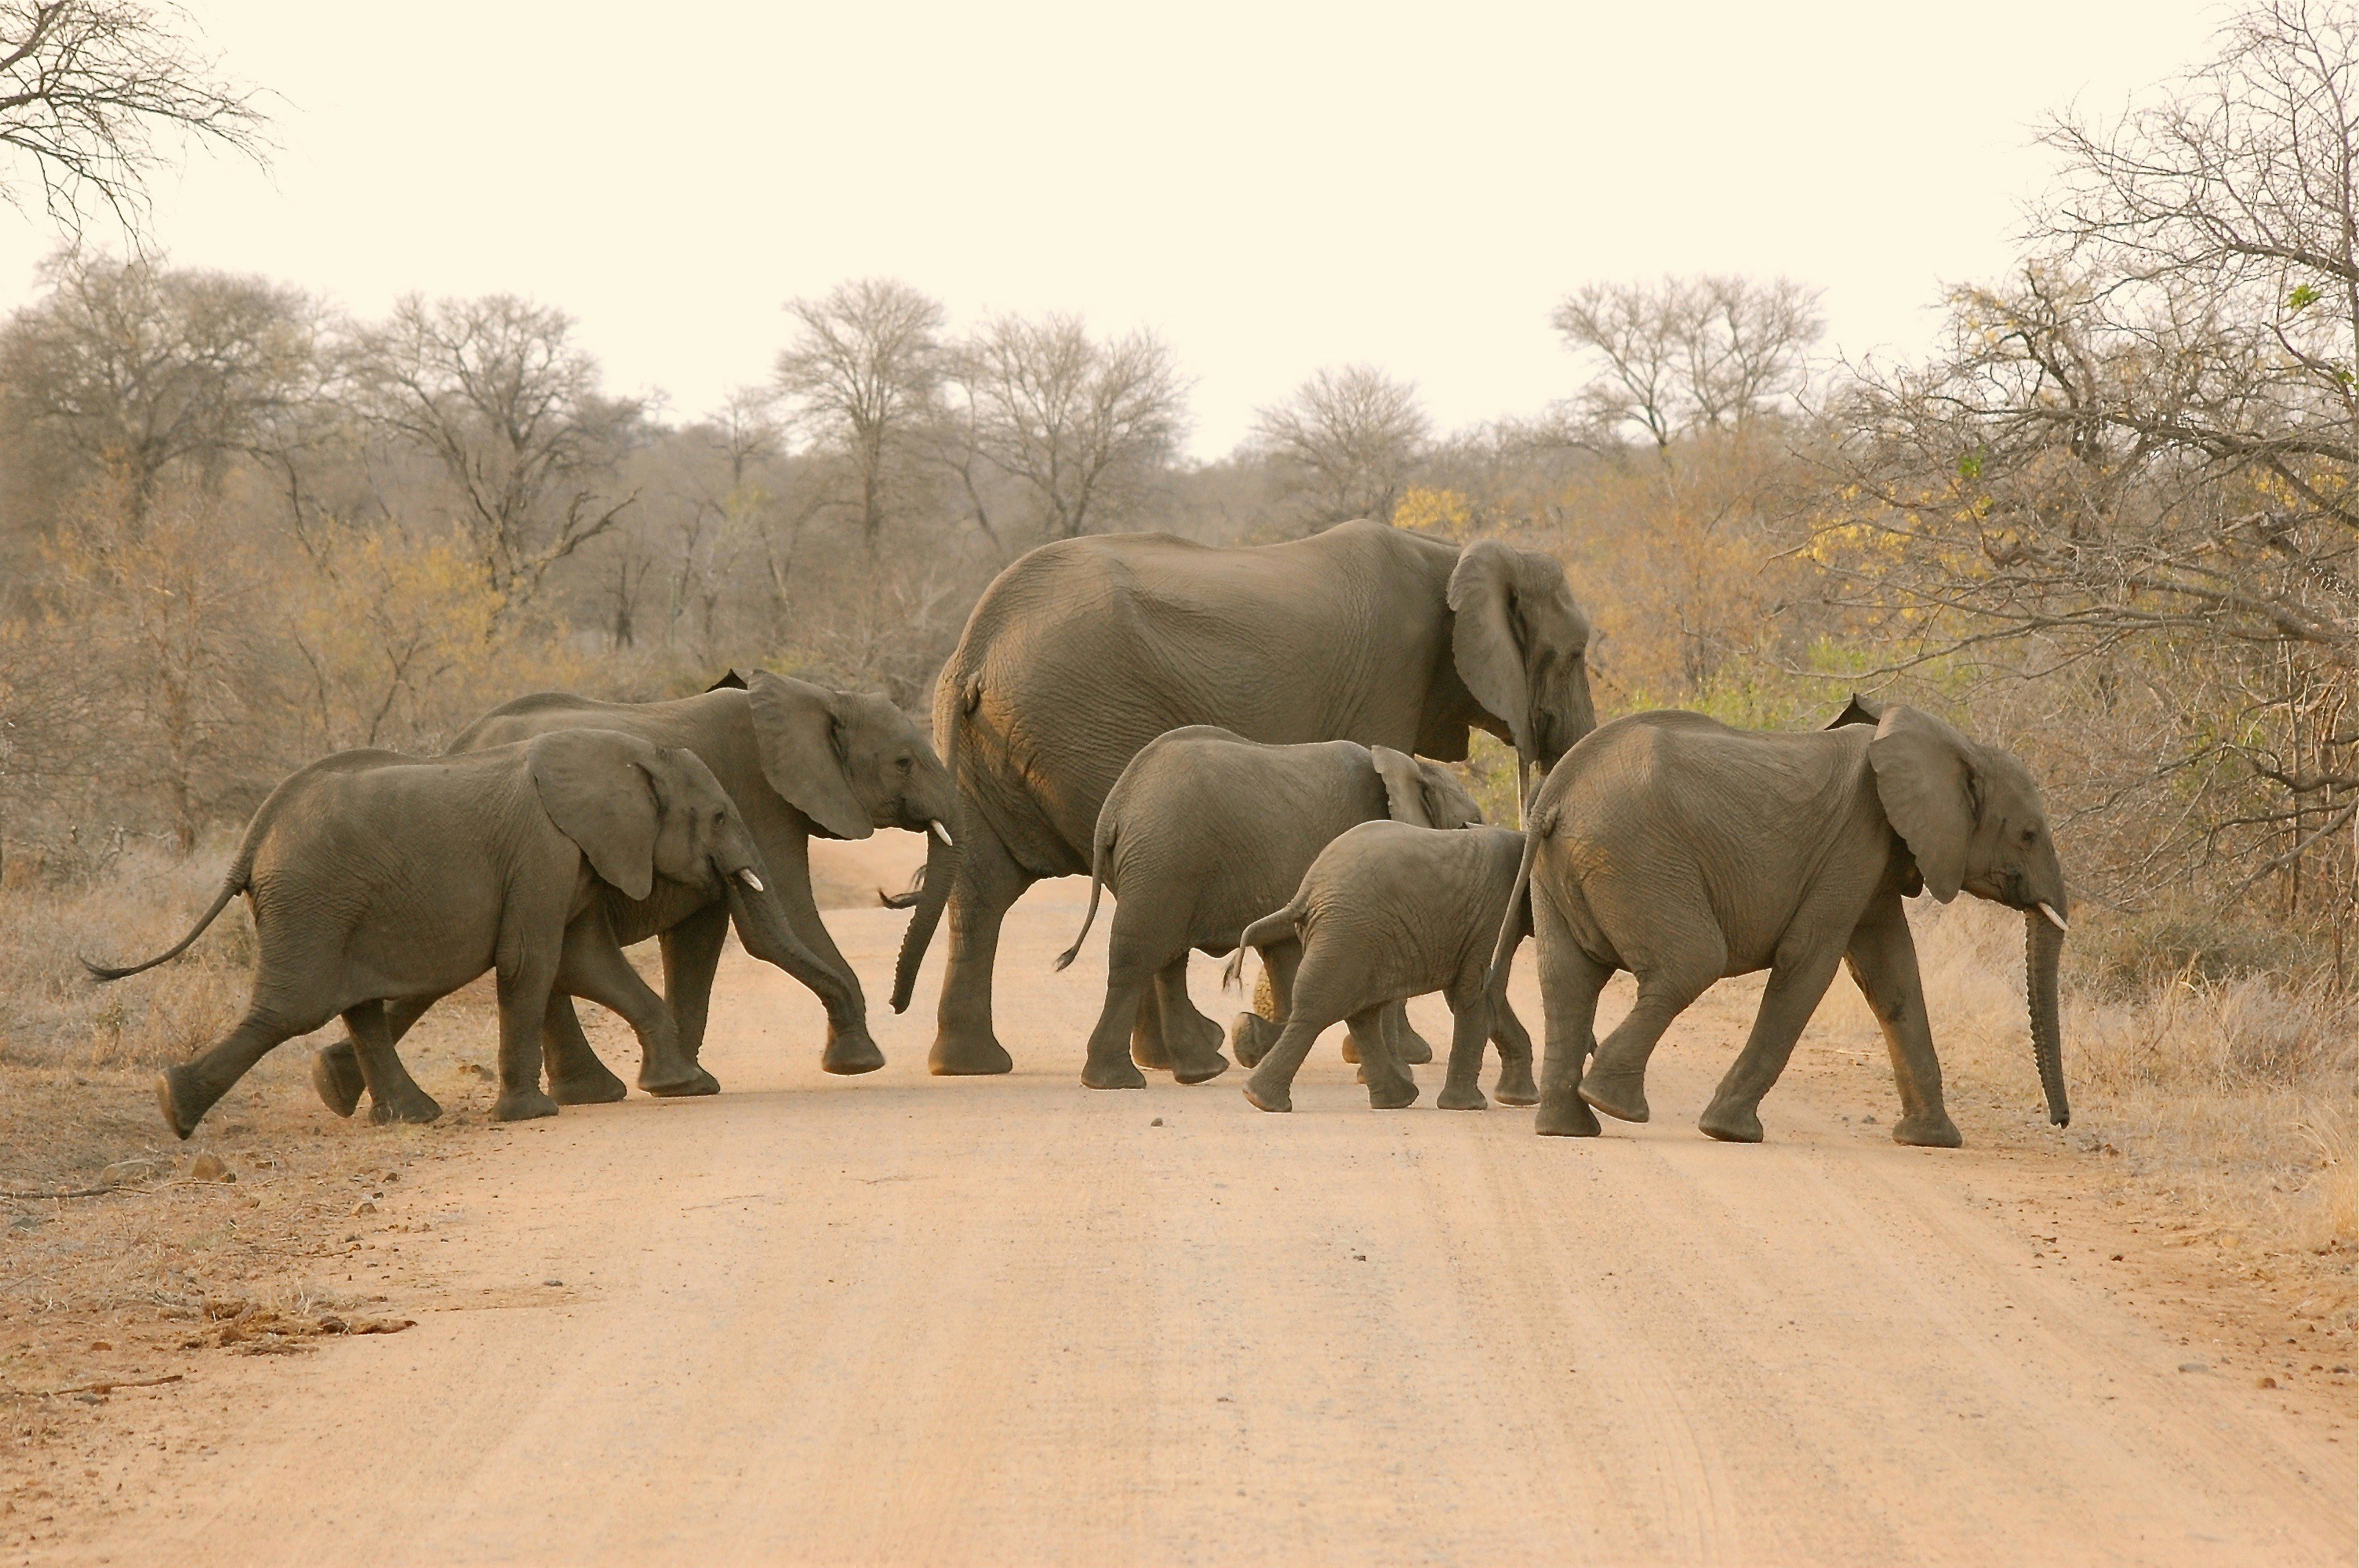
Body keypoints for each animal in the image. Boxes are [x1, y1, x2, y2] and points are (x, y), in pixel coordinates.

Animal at [85, 730, 840, 1137]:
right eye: (719, 817)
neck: (621, 753)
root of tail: (253, 836)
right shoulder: (541, 850)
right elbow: (534, 963)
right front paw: (532, 1115)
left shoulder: (571, 857)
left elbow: (585, 960)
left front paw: (686, 1087)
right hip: (313, 901)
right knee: (292, 1009)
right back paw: (174, 1107)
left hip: (336, 907)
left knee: (356, 1006)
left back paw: (407, 1116)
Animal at [307, 668, 960, 1120]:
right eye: (904, 762)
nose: (901, 1005)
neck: (817, 696)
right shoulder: (760, 802)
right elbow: (782, 927)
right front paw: (859, 1063)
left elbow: (698, 944)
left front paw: (685, 1079)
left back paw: (333, 1086)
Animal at [1050, 725, 1488, 1088]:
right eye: (1470, 823)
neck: (1413, 768)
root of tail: (1117, 802)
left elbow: (1286, 960)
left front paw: (1253, 1040)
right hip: (1164, 858)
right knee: (1139, 956)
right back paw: (1118, 1082)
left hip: (1162, 867)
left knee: (1166, 959)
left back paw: (1202, 1069)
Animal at [1224, 820, 1534, 1113]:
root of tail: (1306, 890)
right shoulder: (1494, 916)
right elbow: (1480, 993)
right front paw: (1471, 1106)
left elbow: (1484, 999)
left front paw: (1519, 1099)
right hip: (1349, 932)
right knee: (1322, 1009)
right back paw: (1261, 1100)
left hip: (1358, 938)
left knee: (1360, 1012)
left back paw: (1395, 1100)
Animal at [1489, 703, 2071, 1146]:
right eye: (2027, 835)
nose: (2061, 1122)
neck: (1955, 747)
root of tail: (1556, 791)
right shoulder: (1854, 842)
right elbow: (1810, 963)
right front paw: (1729, 1132)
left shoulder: (1876, 862)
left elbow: (1893, 978)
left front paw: (1933, 1141)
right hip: (1636, 856)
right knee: (1692, 963)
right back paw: (1615, 1107)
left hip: (1567, 866)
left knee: (1567, 980)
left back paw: (1568, 1128)